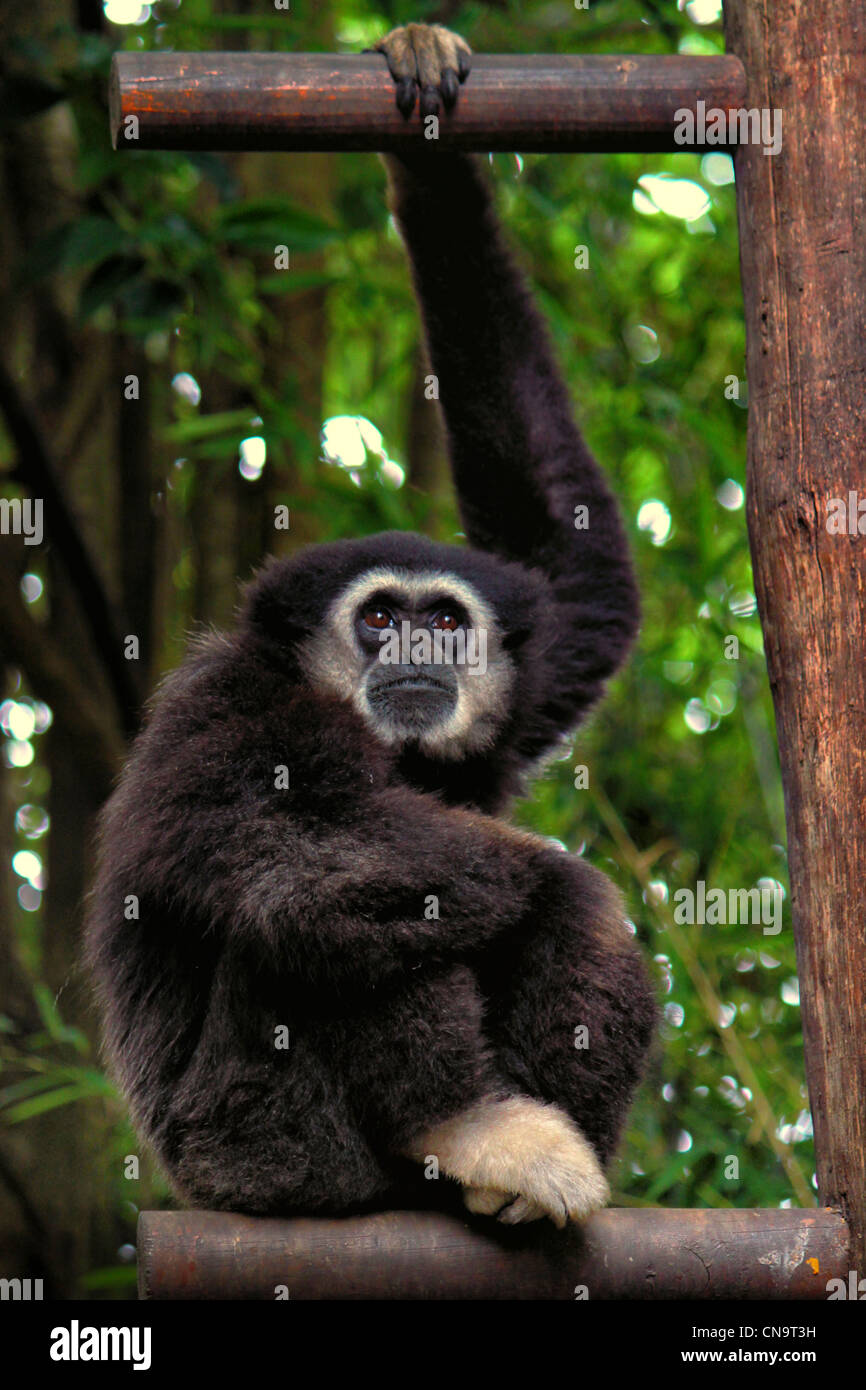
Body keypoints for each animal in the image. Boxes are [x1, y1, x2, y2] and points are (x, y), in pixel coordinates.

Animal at [84, 24, 657, 1229]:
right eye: (381, 615)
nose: (415, 649)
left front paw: (427, 130)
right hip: (259, 1142)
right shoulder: (228, 707)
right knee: (316, 920)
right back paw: (472, 1128)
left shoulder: (531, 670)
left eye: (444, 617)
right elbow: (283, 864)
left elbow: (573, 555)